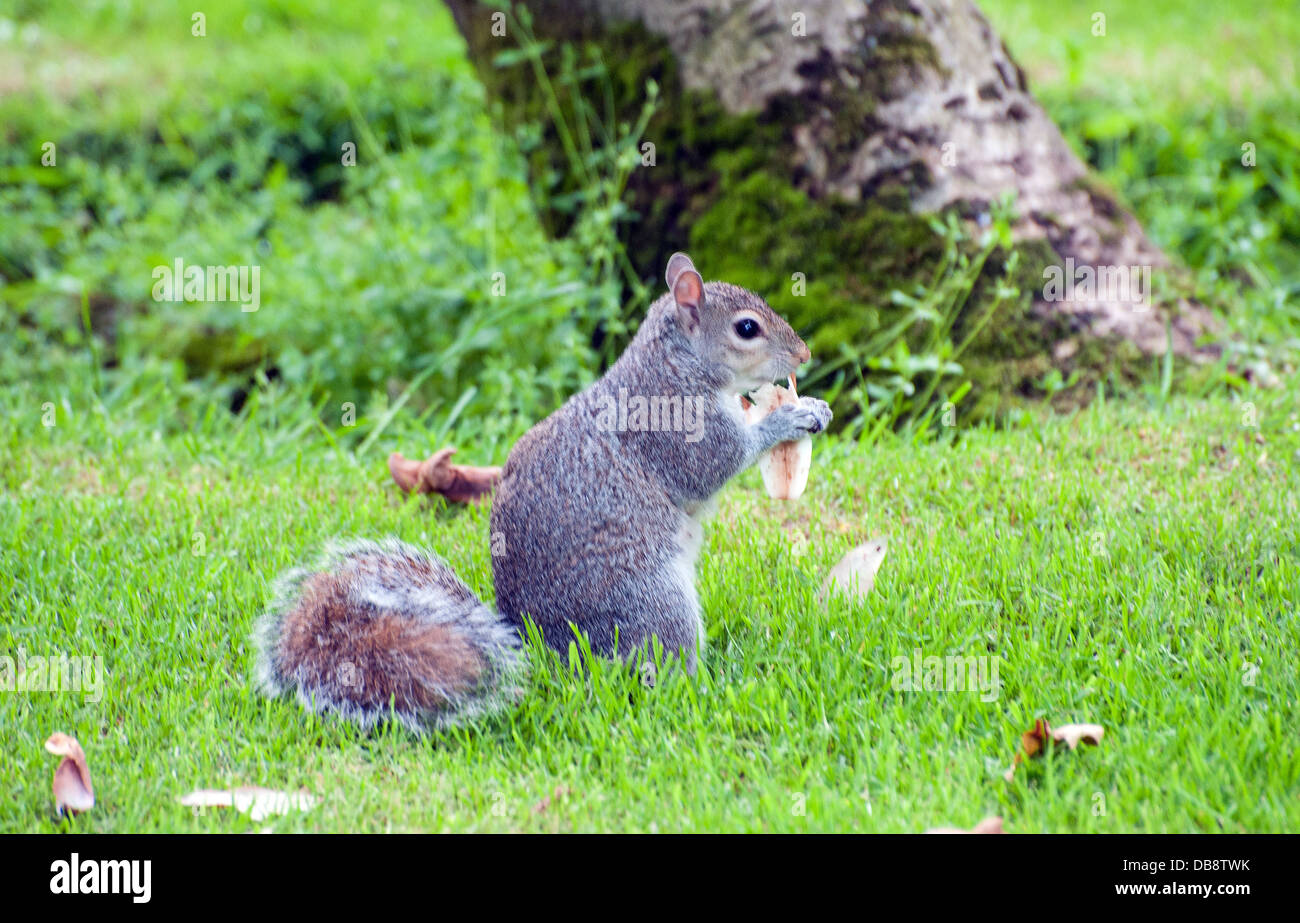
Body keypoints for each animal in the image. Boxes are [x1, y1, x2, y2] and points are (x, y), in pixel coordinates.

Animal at [254, 252, 832, 732]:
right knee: (657, 663)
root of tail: (543, 647)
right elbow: (716, 464)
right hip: (650, 601)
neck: (676, 364)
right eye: (747, 328)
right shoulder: (674, 426)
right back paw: (705, 685)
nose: (805, 353)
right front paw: (788, 418)